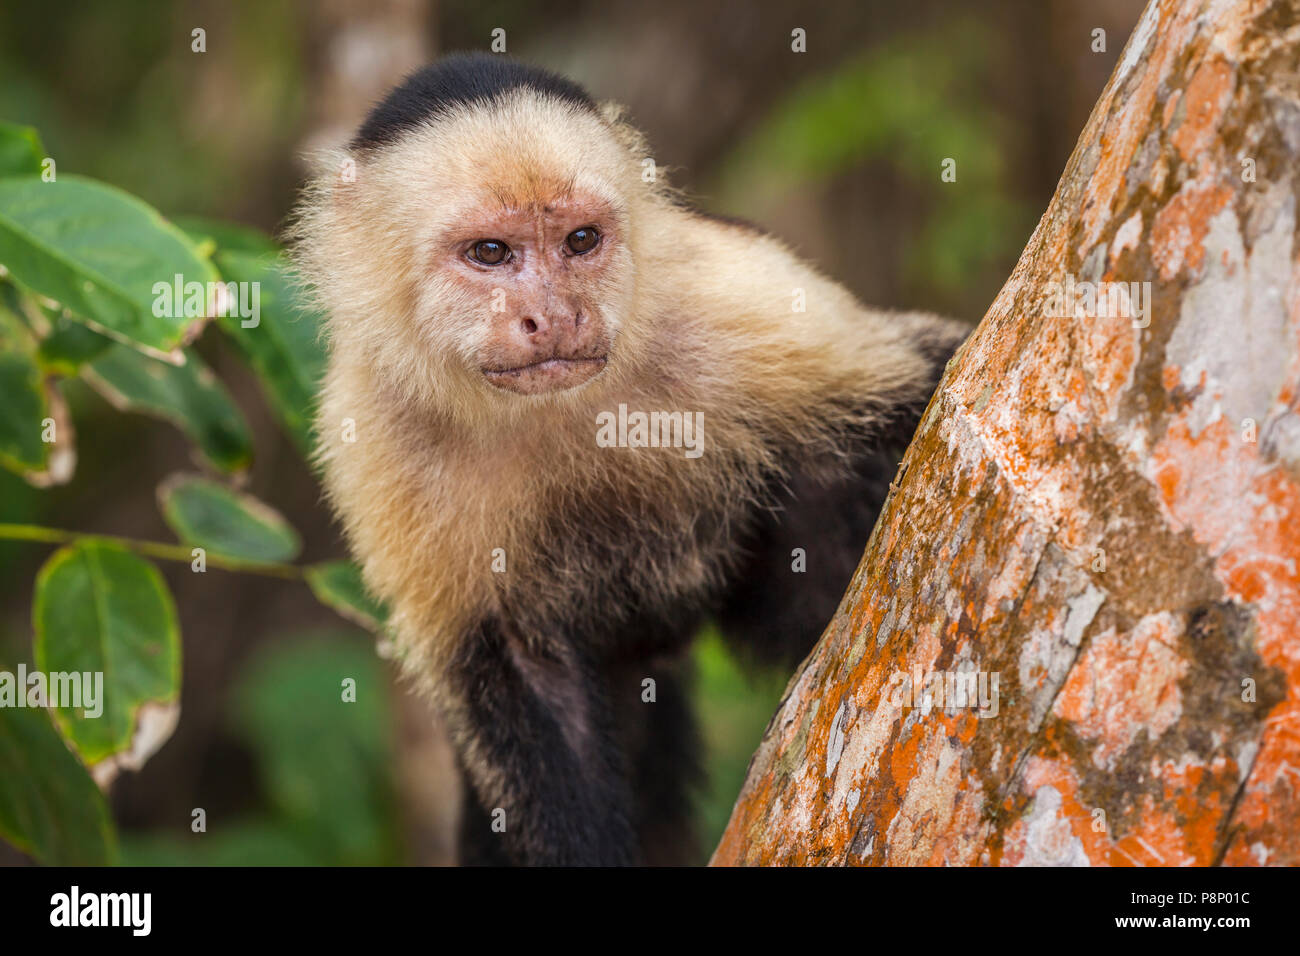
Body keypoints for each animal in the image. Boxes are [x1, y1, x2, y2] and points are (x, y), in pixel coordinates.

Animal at [291, 53, 967, 866]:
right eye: (490, 253)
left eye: (581, 240)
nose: (556, 316)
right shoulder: (372, 430)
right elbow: (519, 673)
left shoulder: (726, 294)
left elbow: (924, 375)